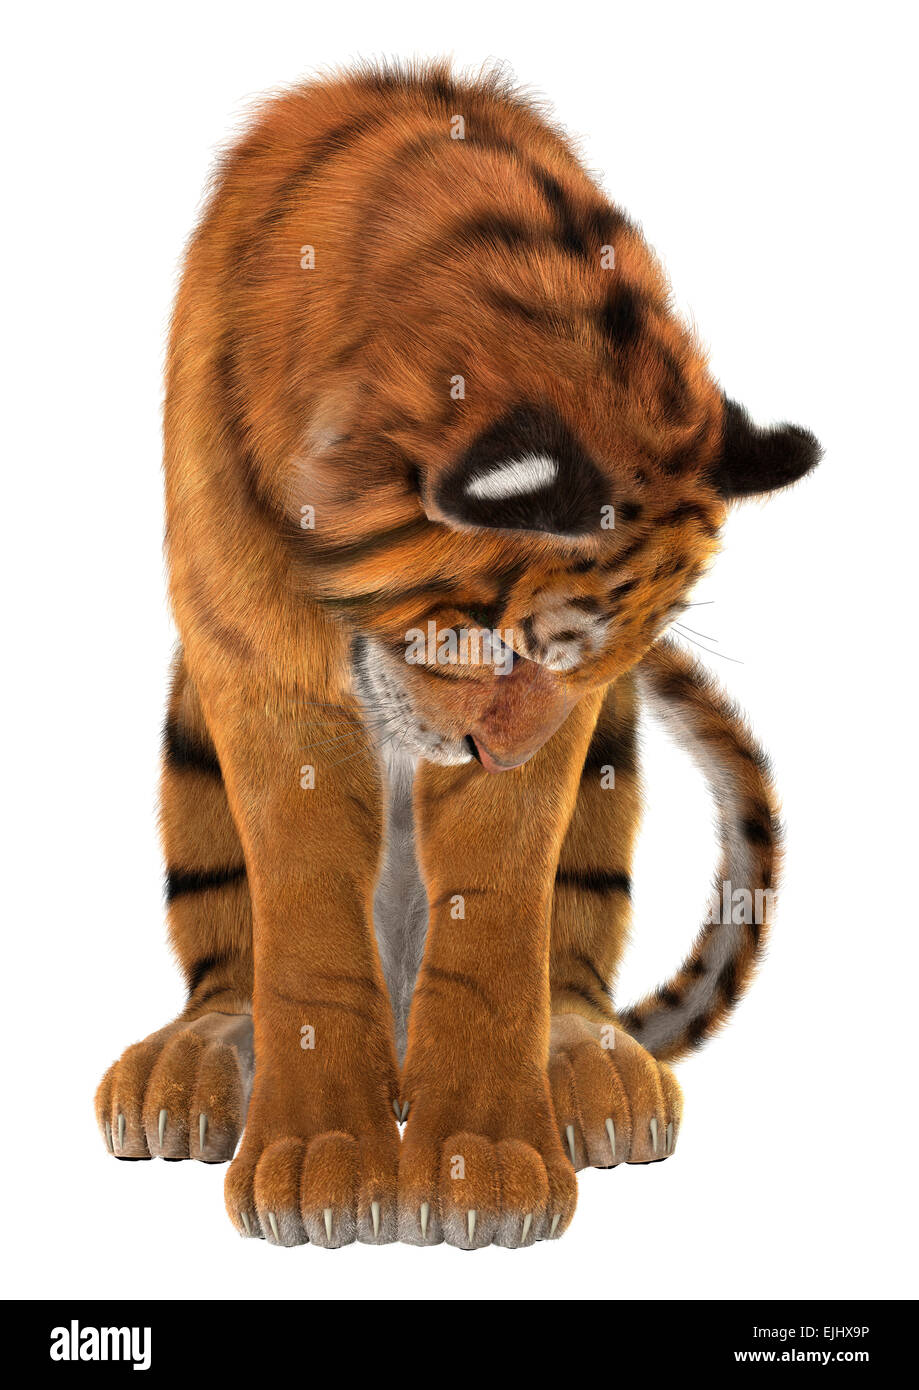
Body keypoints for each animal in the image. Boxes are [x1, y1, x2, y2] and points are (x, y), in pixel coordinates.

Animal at [95, 60, 821, 1249]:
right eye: (508, 644)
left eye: (589, 662)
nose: (505, 750)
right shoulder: (258, 659)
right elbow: (305, 914)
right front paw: (316, 1161)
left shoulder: (560, 740)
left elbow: (494, 925)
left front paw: (484, 1164)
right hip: (191, 718)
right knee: (229, 955)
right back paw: (193, 1063)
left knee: (567, 957)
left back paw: (593, 1071)